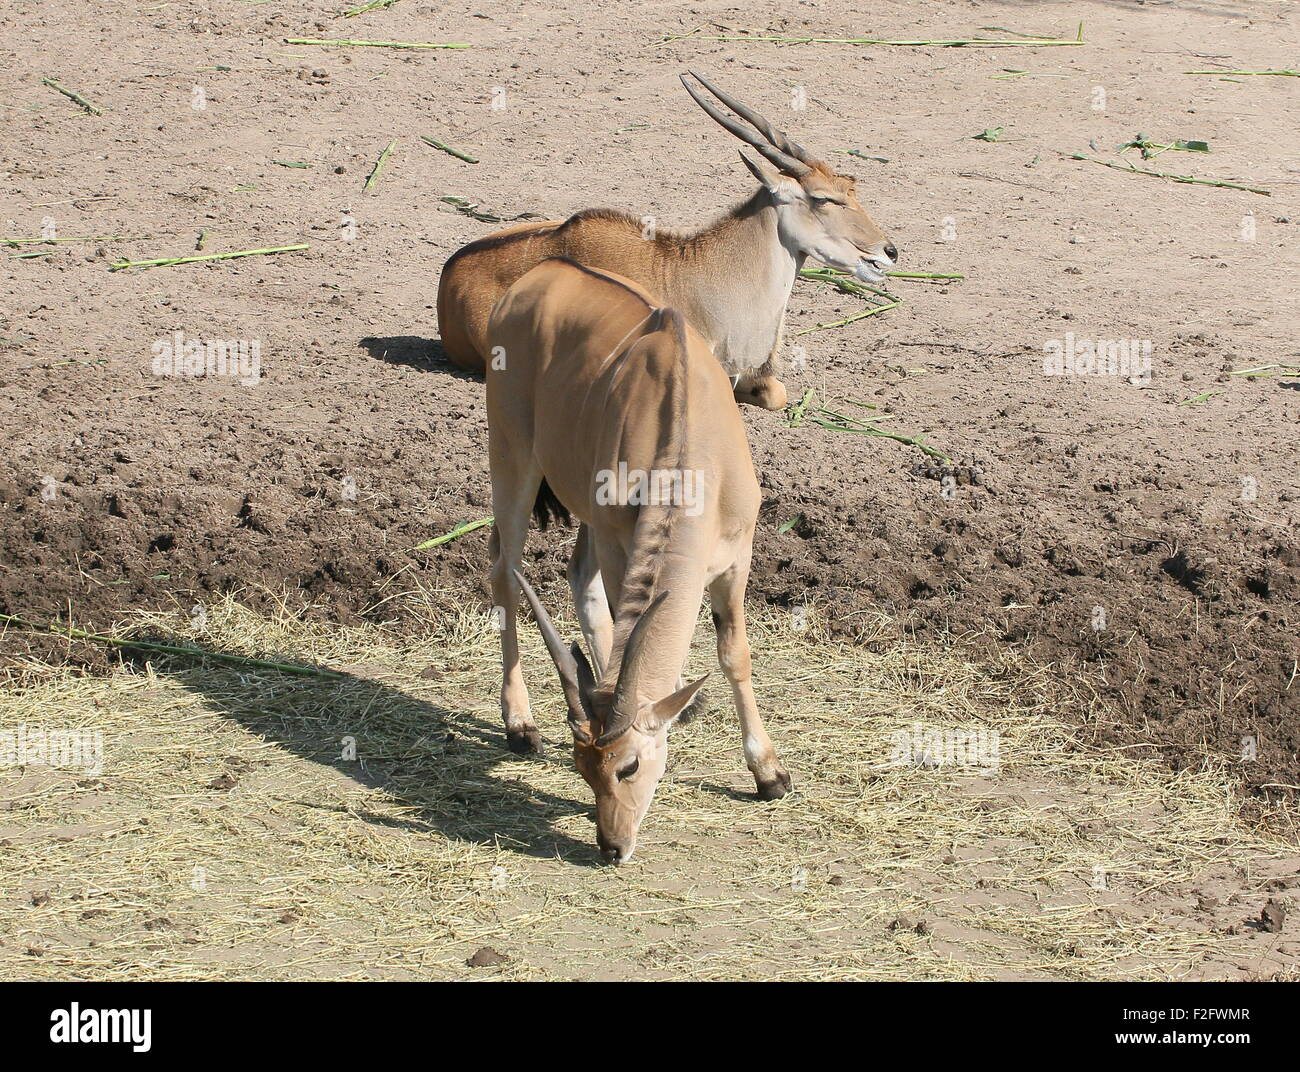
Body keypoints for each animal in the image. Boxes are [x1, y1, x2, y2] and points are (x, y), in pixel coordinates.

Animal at [438, 71, 897, 411]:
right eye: (823, 198)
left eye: (851, 186)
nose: (888, 252)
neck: (696, 271)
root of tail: (451, 271)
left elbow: (776, 393)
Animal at [487, 256, 791, 864]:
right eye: (584, 770)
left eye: (627, 766)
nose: (611, 846)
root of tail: (538, 273)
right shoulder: (617, 543)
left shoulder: (735, 560)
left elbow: (734, 654)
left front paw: (769, 774)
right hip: (511, 458)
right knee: (506, 571)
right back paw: (519, 722)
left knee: (567, 575)